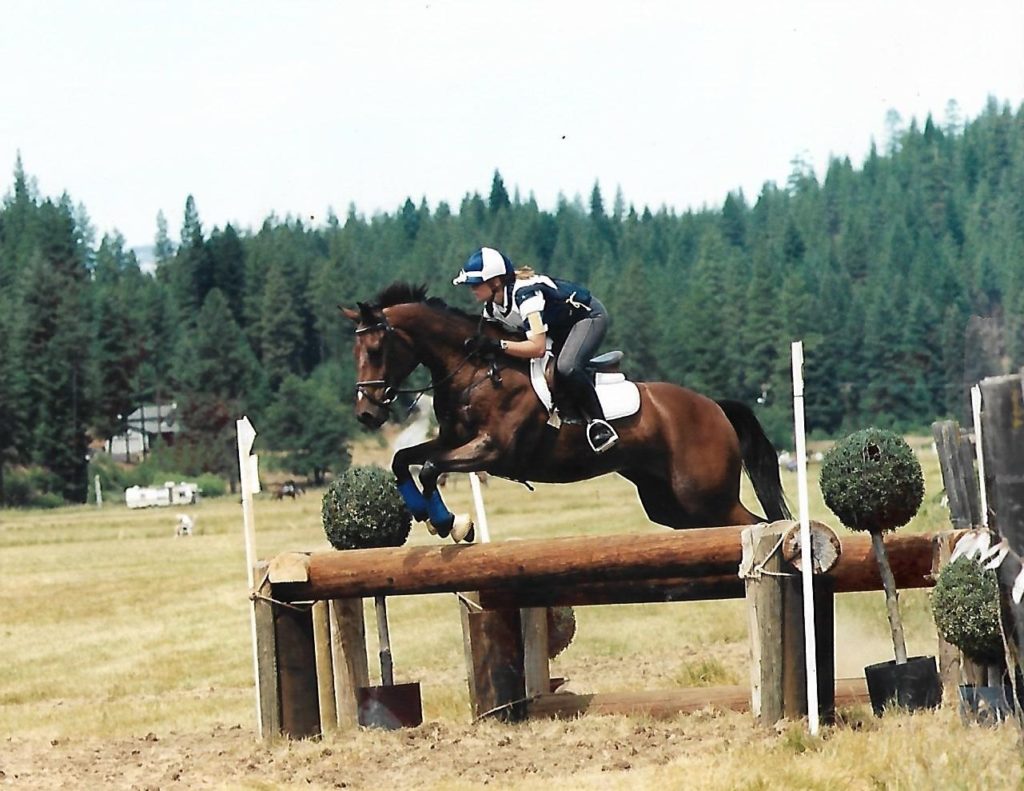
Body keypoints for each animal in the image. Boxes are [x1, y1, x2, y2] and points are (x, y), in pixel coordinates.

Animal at [342, 282, 790, 542]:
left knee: (757, 524)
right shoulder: (455, 440)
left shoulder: (493, 449)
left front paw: (450, 523)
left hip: (705, 495)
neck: (474, 369)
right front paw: (424, 513)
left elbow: (432, 467)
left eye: (377, 350)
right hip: (673, 505)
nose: (366, 414)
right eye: (355, 350)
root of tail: (713, 406)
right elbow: (405, 460)